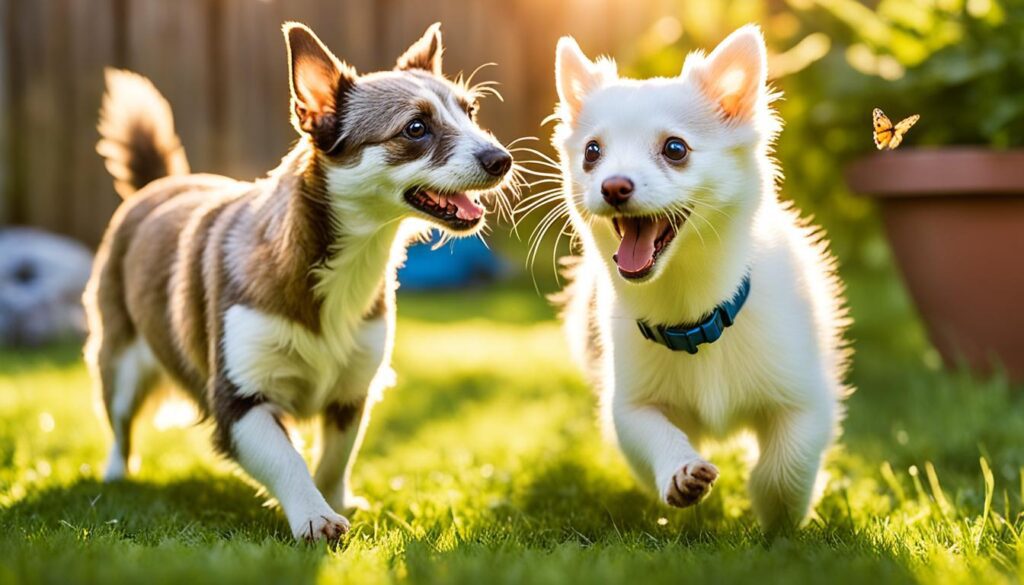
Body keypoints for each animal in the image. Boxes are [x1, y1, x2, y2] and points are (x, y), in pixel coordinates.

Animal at [83, 24, 512, 545]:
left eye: (470, 113)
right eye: (415, 129)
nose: (502, 159)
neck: (348, 260)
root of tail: (159, 185)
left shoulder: (352, 393)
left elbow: (335, 458)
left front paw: (334, 501)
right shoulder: (239, 402)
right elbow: (287, 458)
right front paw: (313, 516)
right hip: (118, 359)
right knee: (119, 422)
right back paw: (116, 476)